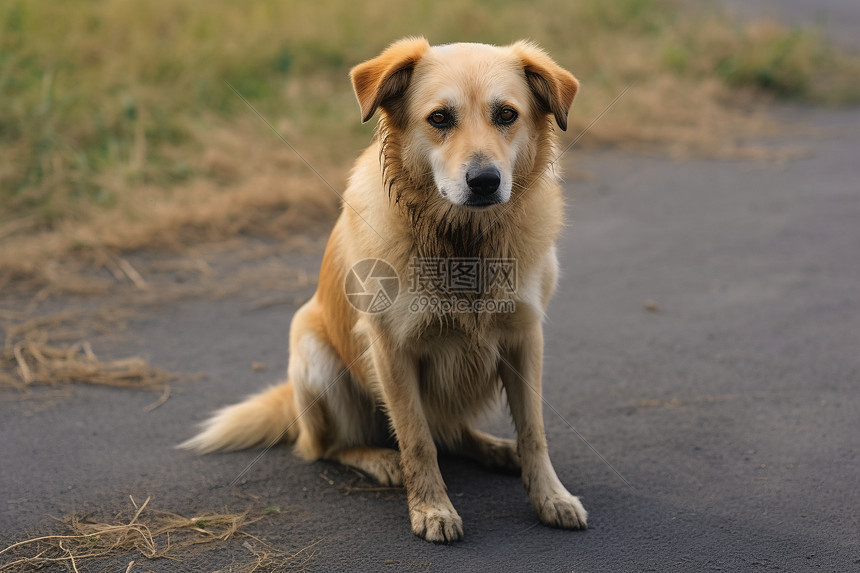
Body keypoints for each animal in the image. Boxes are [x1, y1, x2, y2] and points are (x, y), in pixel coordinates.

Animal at [180, 36, 584, 540]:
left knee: (453, 433)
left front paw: (551, 498)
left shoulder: (524, 338)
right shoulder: (391, 349)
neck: (462, 244)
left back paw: (494, 449)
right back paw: (381, 460)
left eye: (507, 115)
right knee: (333, 448)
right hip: (313, 352)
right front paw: (432, 508)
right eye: (439, 118)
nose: (485, 181)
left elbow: (533, 433)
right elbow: (416, 439)